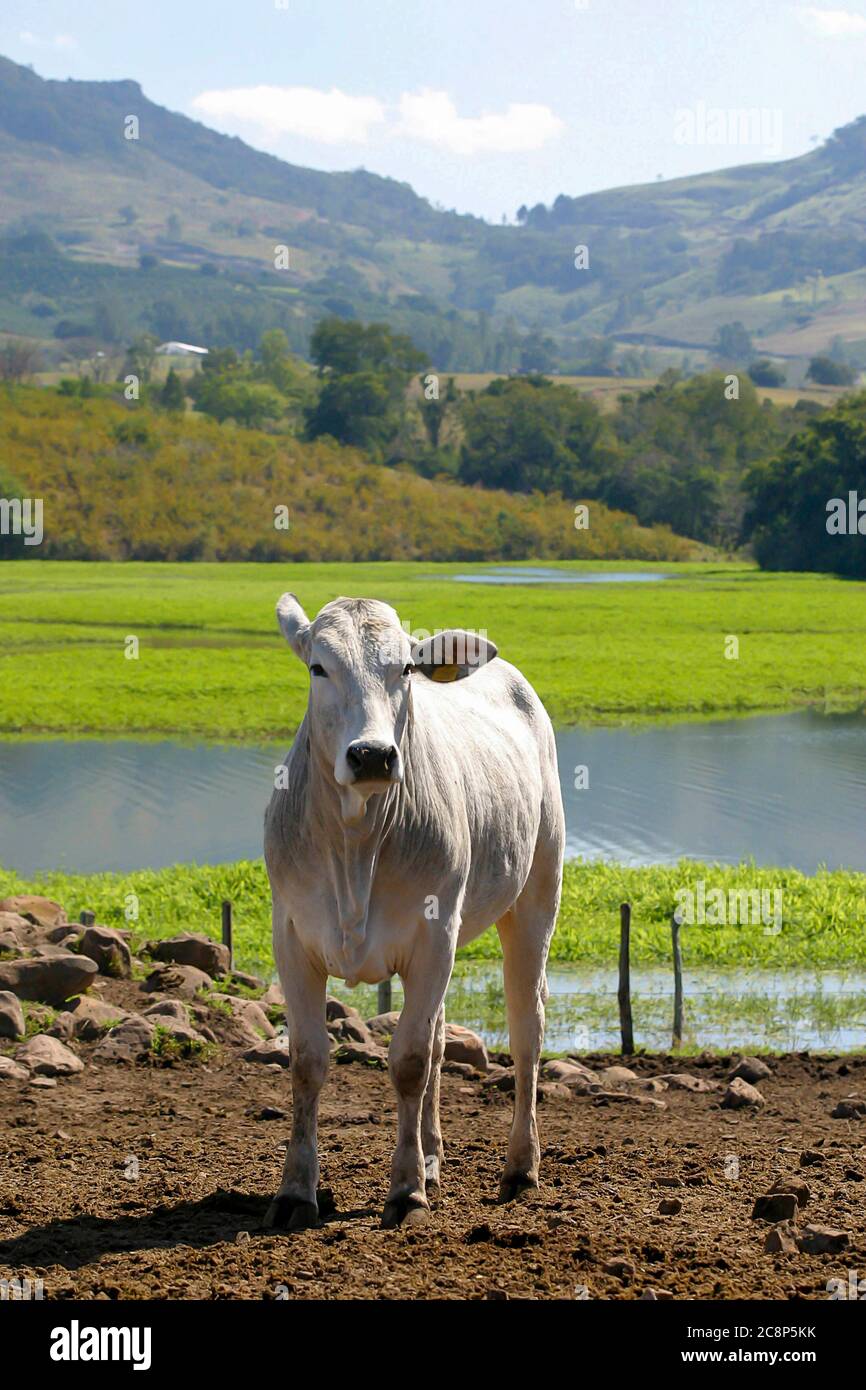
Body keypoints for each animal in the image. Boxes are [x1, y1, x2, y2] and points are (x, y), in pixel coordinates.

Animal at [263, 594, 565, 1230]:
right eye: (318, 667)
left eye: (404, 668)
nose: (372, 755)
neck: (356, 847)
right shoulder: (293, 939)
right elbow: (308, 1061)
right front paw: (296, 1190)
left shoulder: (433, 938)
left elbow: (407, 1061)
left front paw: (405, 1191)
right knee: (441, 1037)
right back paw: (432, 1154)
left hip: (536, 897)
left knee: (526, 1030)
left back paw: (520, 1164)